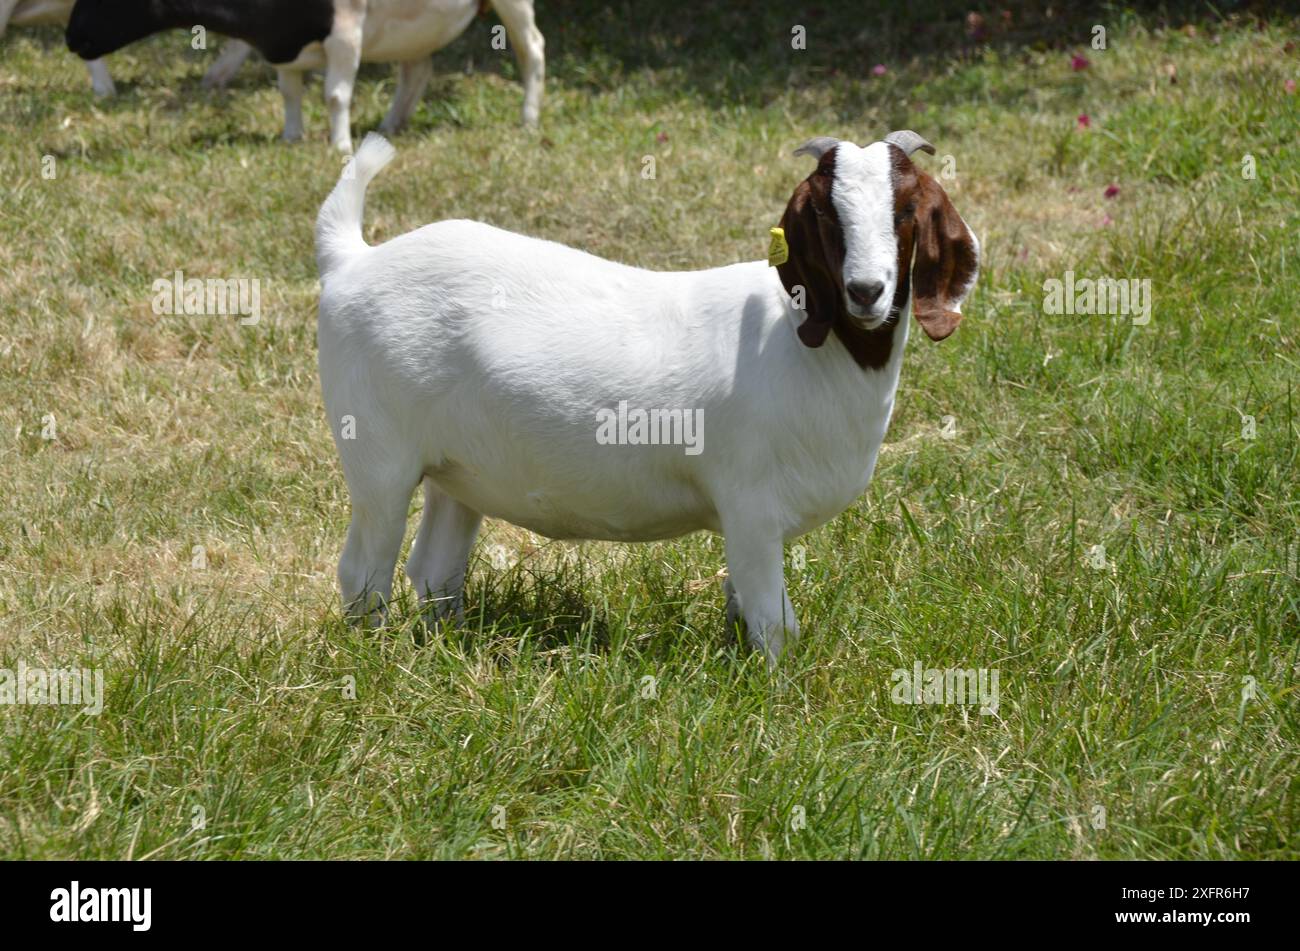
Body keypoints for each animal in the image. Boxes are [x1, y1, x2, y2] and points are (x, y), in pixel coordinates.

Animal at [65, 0, 544, 152]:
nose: (70, 37)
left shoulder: (346, 29)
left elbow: (335, 94)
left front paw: (340, 144)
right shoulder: (282, 46)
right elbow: (288, 93)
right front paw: (291, 136)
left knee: (532, 50)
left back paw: (529, 118)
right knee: (417, 70)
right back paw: (390, 125)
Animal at [314, 130, 979, 666]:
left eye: (906, 211)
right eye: (824, 213)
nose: (865, 291)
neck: (803, 344)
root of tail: (352, 260)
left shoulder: (747, 524)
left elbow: (744, 607)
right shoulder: (751, 506)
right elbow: (775, 624)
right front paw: (779, 691)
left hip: (459, 473)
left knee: (433, 571)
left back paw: (443, 648)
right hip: (378, 458)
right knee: (363, 571)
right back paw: (370, 659)